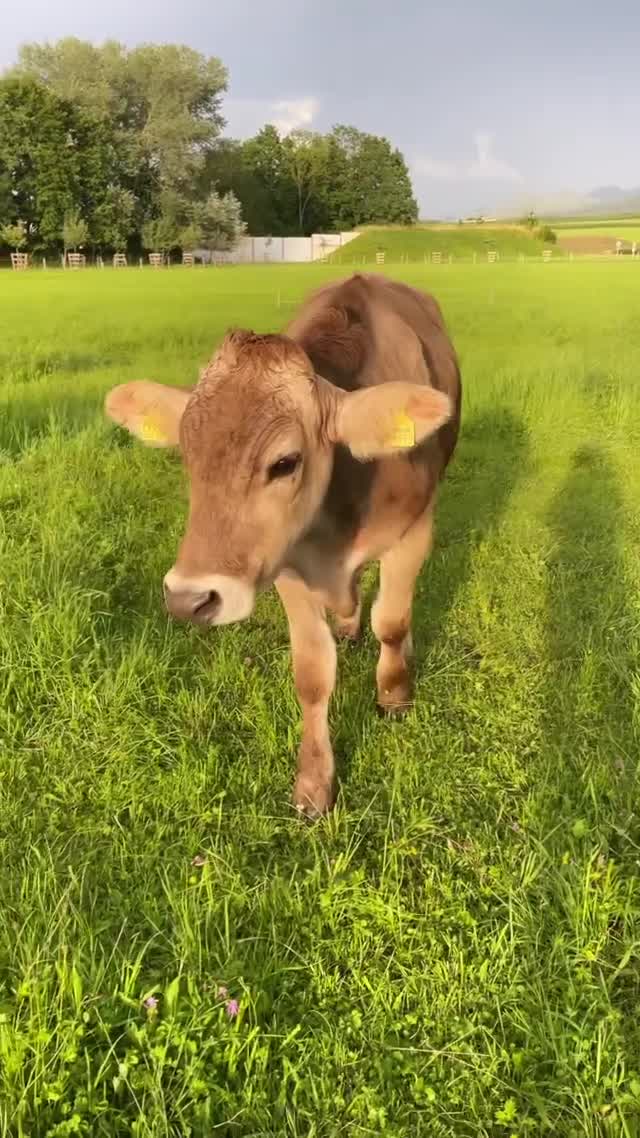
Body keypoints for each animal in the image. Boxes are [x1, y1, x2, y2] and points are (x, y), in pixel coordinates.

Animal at [105, 273, 462, 816]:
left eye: (285, 463)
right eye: (187, 455)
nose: (189, 599)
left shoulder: (414, 531)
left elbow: (392, 622)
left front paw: (395, 693)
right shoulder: (287, 565)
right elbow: (312, 672)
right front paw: (314, 784)